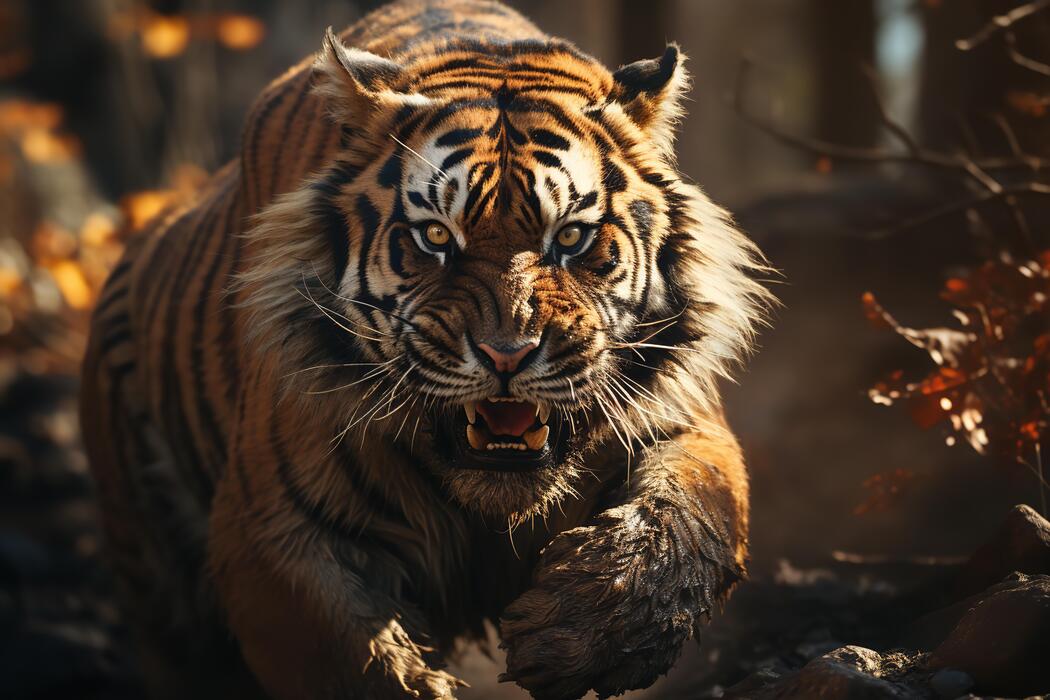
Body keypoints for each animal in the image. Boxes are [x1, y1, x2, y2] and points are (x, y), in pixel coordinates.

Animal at [80, 1, 772, 698]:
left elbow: (688, 515)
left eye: (571, 237)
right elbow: (352, 663)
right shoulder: (268, 528)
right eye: (436, 237)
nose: (507, 354)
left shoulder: (684, 421)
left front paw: (580, 632)